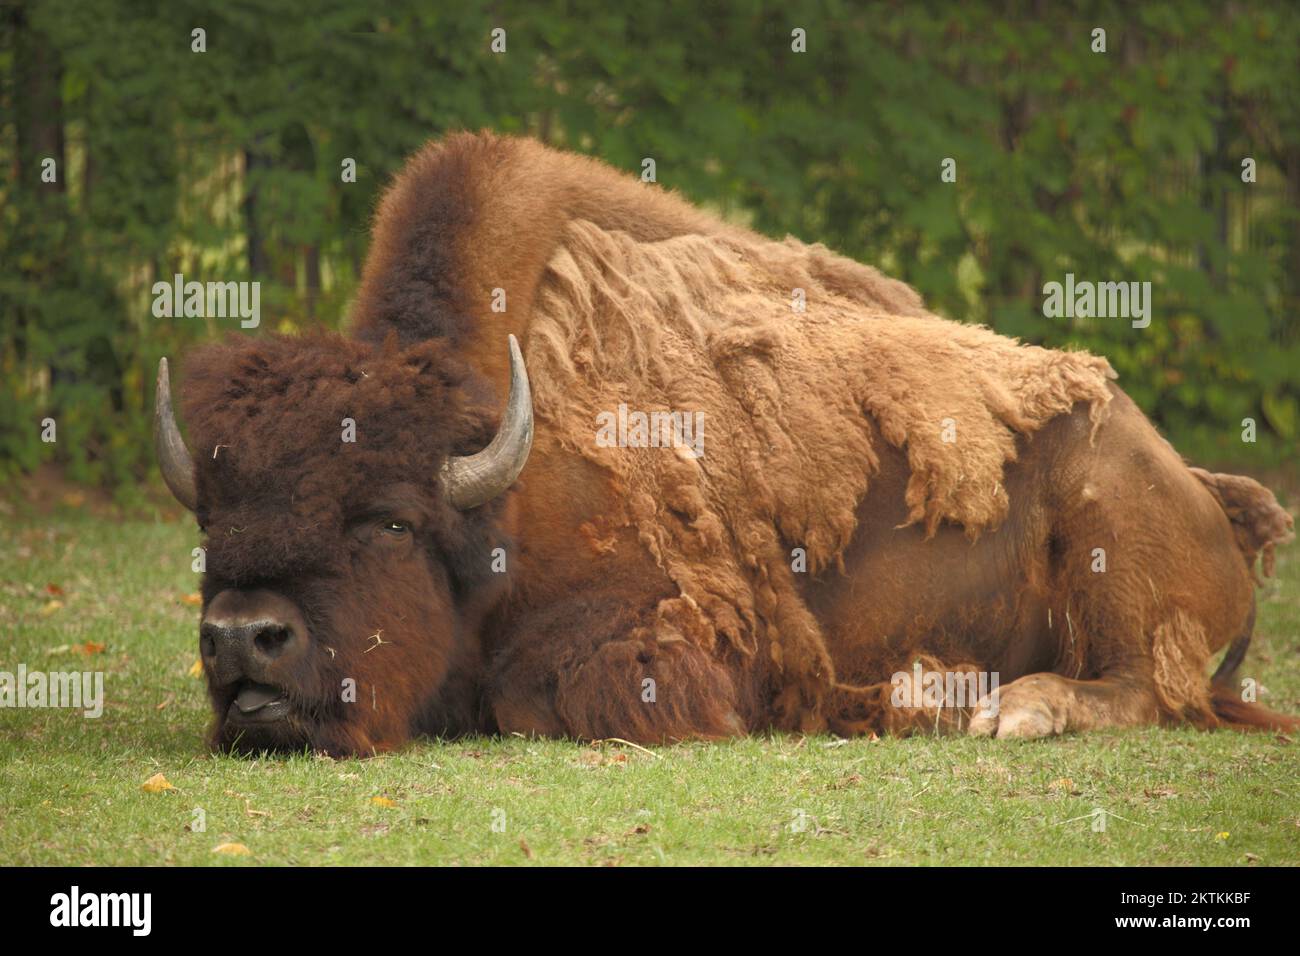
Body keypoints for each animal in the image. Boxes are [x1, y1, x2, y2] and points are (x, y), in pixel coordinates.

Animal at [155, 132, 1295, 756]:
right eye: (211, 522)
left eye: (391, 522)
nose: (244, 637)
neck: (506, 486)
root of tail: (1213, 497)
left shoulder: (670, 639)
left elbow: (530, 693)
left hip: (1110, 533)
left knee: (1142, 687)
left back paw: (990, 708)